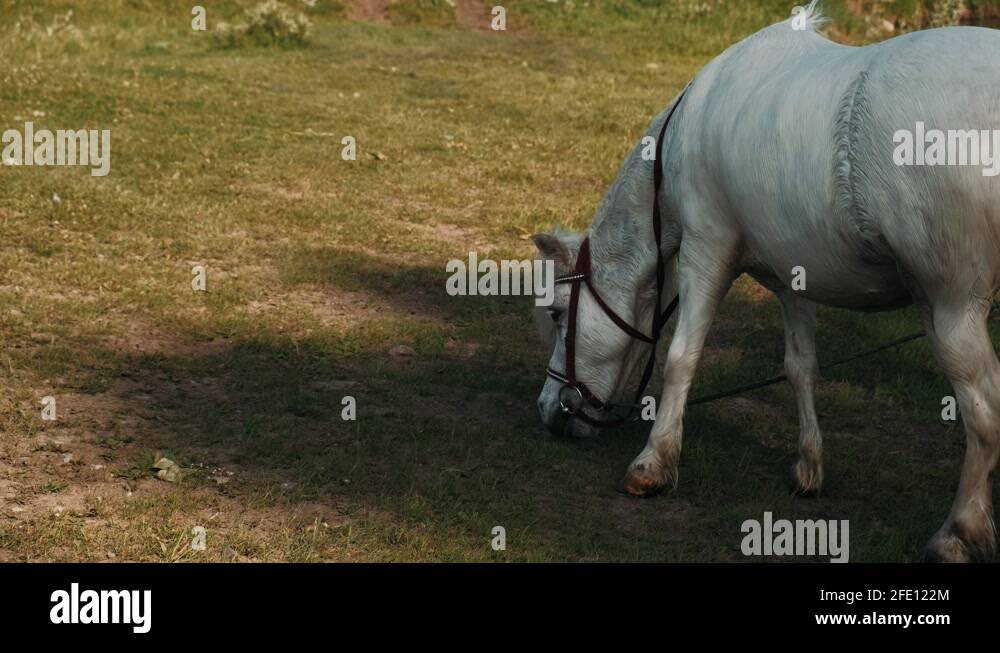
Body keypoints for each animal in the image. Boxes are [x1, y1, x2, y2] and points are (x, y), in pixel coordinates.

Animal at [531, 3, 1000, 562]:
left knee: (983, 409)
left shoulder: (706, 249)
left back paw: (958, 532)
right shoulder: (792, 278)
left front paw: (653, 463)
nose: (548, 409)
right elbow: (800, 367)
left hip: (952, 307)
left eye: (558, 312)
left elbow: (681, 358)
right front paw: (808, 467)